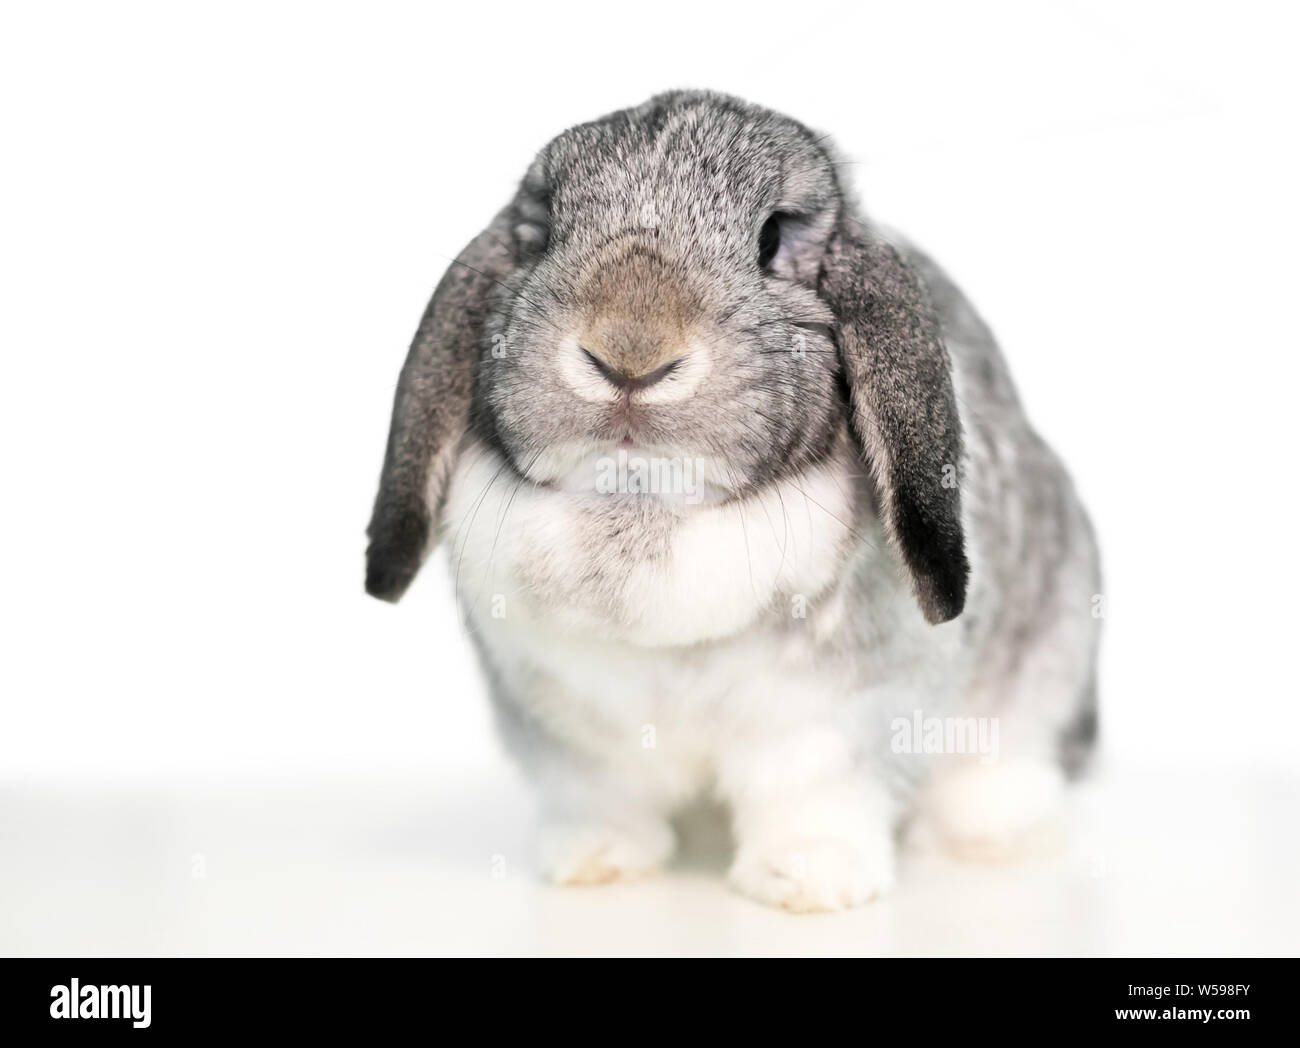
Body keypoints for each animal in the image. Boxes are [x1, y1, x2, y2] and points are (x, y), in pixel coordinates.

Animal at [365, 91, 1102, 912]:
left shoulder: (830, 727)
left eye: (772, 238)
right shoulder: (568, 737)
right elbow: (602, 800)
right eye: (547, 229)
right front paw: (595, 863)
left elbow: (814, 800)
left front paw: (808, 882)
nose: (630, 354)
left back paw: (995, 833)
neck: (641, 507)